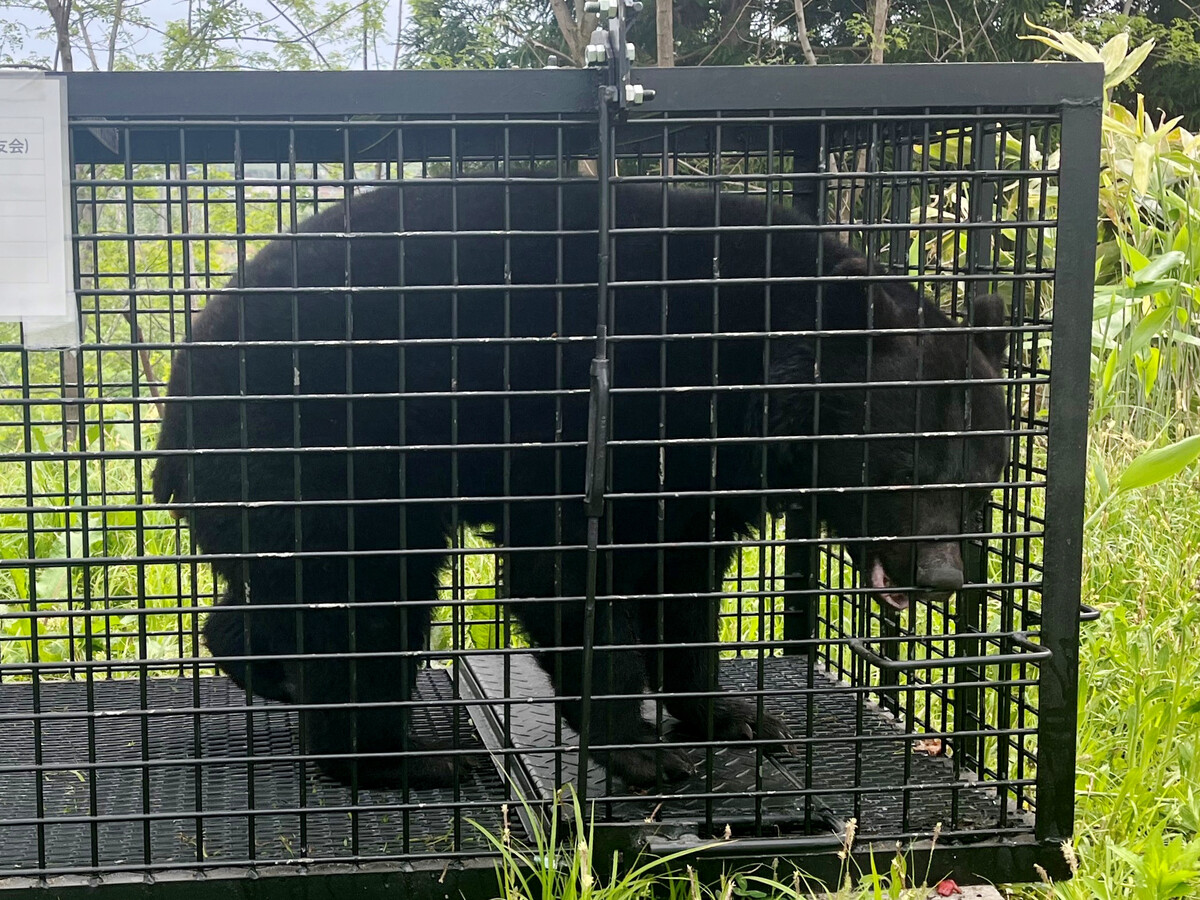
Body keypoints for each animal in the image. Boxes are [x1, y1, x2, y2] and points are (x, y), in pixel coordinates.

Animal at [152, 179, 1010, 790]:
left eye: (982, 489)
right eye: (898, 468)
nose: (940, 577)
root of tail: (181, 382)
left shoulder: (703, 478)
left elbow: (681, 584)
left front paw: (730, 715)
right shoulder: (600, 419)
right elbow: (568, 569)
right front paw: (638, 748)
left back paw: (262, 666)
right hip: (318, 448)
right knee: (362, 596)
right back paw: (399, 756)